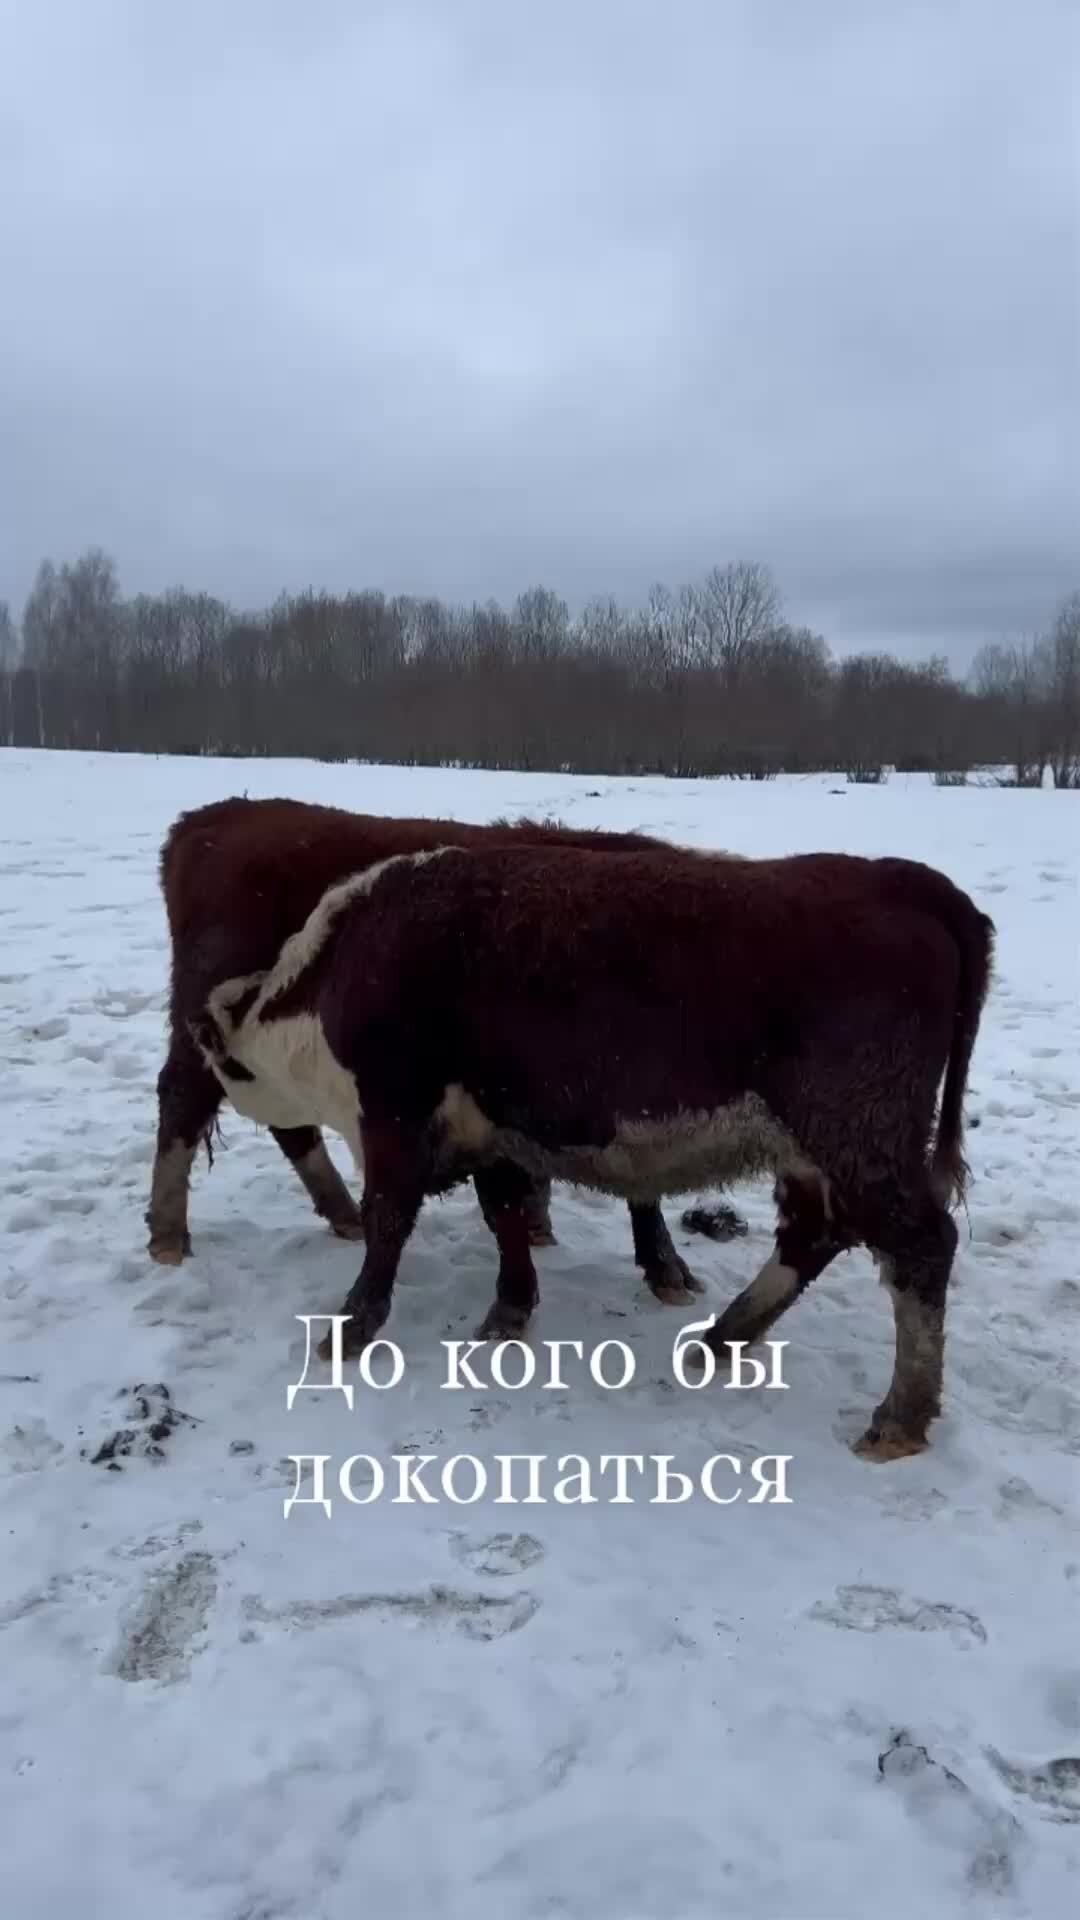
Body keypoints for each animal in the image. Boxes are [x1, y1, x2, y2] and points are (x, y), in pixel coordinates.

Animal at [147, 796, 744, 1308]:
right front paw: (665, 1269)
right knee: (183, 1100)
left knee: (286, 1124)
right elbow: (640, 1190)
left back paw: (342, 1213)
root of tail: (213, 818)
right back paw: (169, 1236)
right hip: (212, 1032)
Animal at [195, 839, 993, 1460]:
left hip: (857, 1135)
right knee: (814, 1234)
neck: (340, 970)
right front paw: (509, 1309)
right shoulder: (493, 1128)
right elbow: (505, 1215)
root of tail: (902, 880)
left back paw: (898, 1416)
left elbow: (388, 1221)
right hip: (812, 1151)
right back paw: (721, 1340)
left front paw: (352, 1324)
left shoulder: (394, 1115)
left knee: (920, 1245)